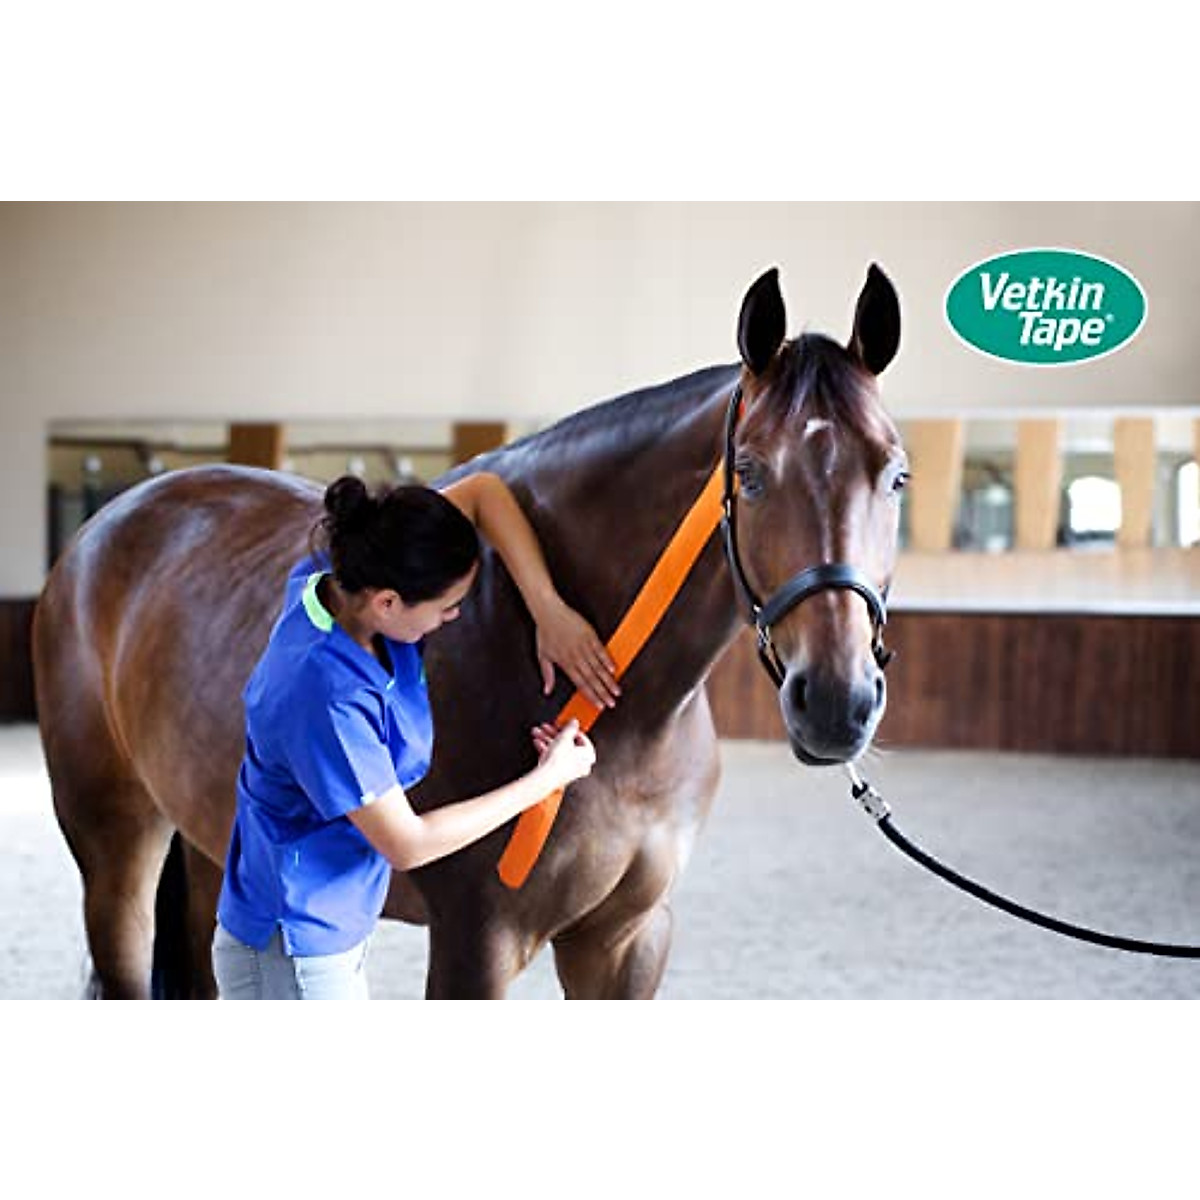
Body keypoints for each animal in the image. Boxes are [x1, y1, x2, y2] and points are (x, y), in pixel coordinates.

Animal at [33, 264, 906, 998]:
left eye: (896, 475)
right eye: (750, 473)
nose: (838, 702)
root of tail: (107, 525)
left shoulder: (627, 939)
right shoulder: (475, 940)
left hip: (212, 842)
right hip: (115, 846)